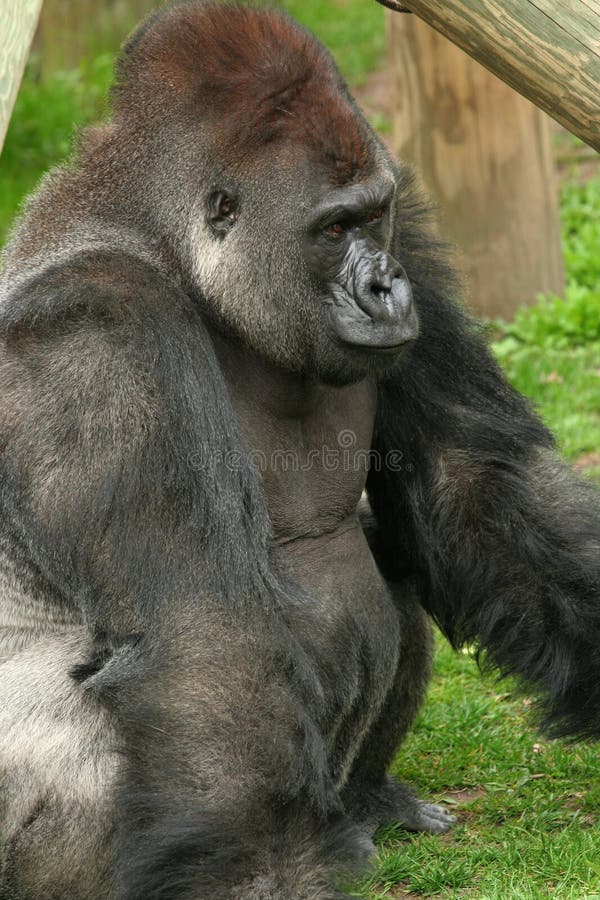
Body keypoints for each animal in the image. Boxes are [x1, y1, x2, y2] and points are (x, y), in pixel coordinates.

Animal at [0, 3, 599, 898]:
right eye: (333, 228)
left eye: (374, 216)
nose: (384, 286)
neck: (170, 248)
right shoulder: (99, 336)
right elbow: (206, 637)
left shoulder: (409, 226)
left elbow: (475, 488)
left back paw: (373, 804)